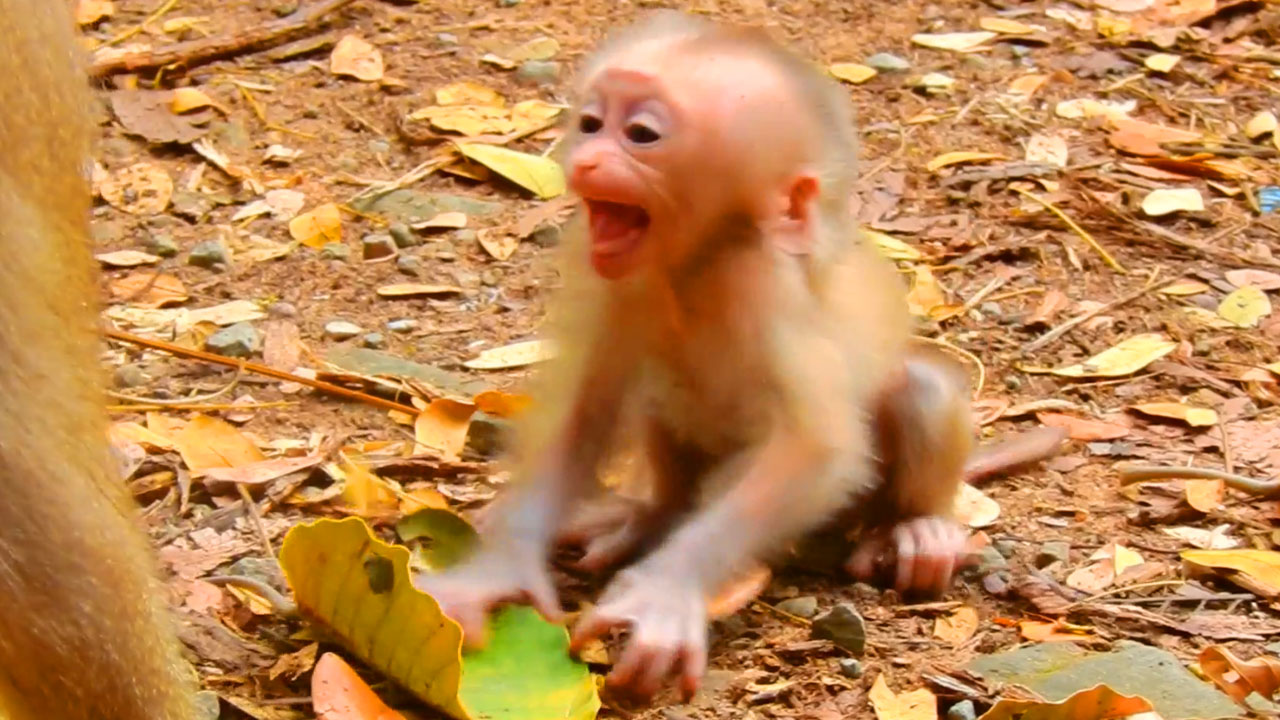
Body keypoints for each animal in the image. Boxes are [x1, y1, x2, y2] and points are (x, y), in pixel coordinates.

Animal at [416, 11, 1061, 701]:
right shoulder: (613, 277)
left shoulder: (761, 284)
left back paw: (914, 526)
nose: (586, 159)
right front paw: (496, 570)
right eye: (590, 123)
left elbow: (815, 450)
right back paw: (653, 516)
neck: (696, 266)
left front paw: (664, 594)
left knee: (919, 390)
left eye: (641, 134)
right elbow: (584, 413)